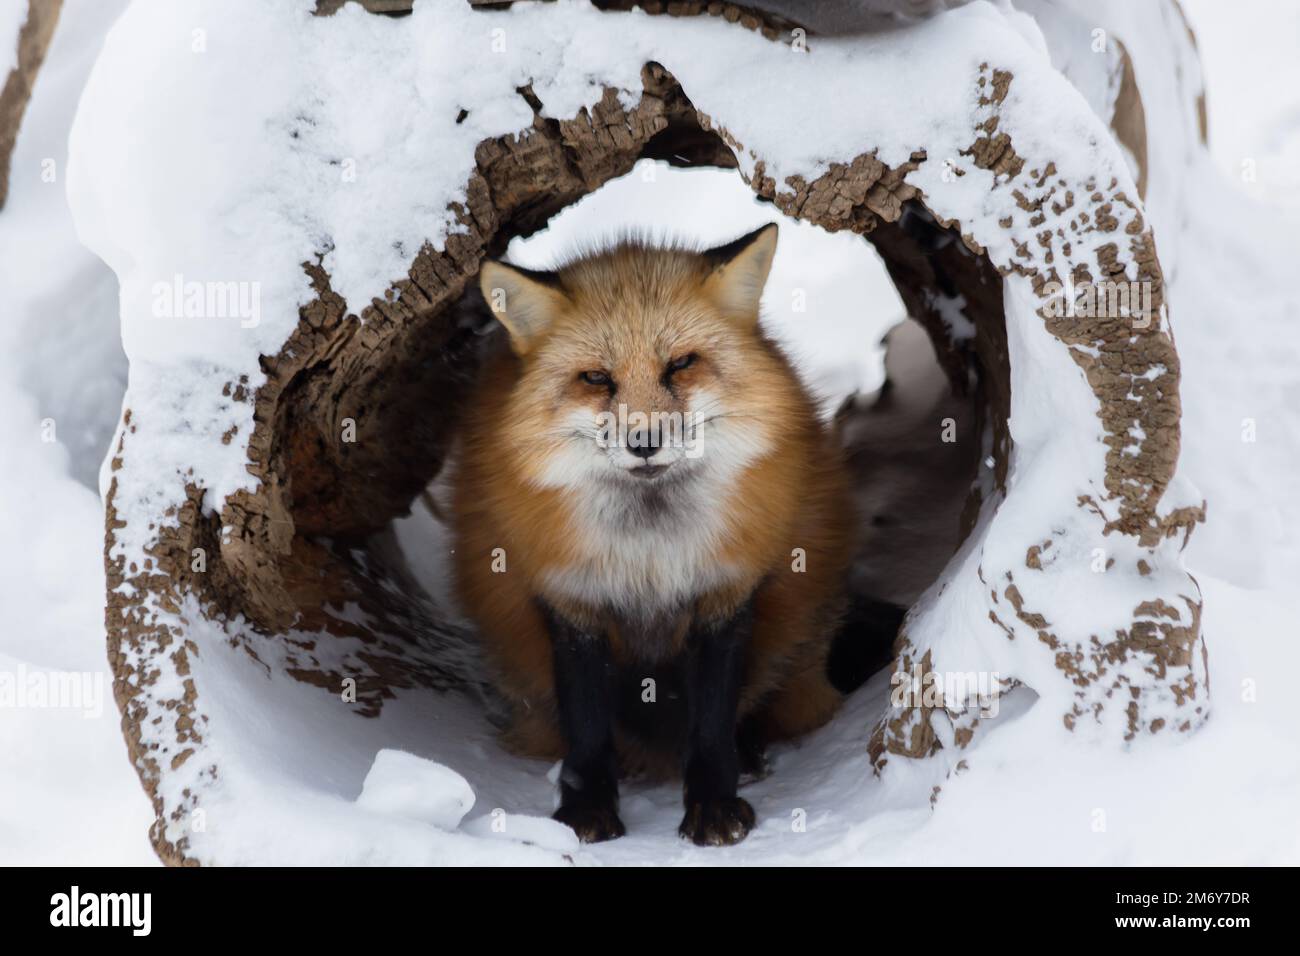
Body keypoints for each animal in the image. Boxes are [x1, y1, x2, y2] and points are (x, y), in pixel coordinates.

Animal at [452, 224, 865, 846]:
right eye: (596, 378)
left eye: (682, 364)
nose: (644, 441)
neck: (649, 553)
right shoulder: (571, 601)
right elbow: (587, 725)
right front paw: (586, 809)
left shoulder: (726, 593)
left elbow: (712, 721)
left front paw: (714, 804)